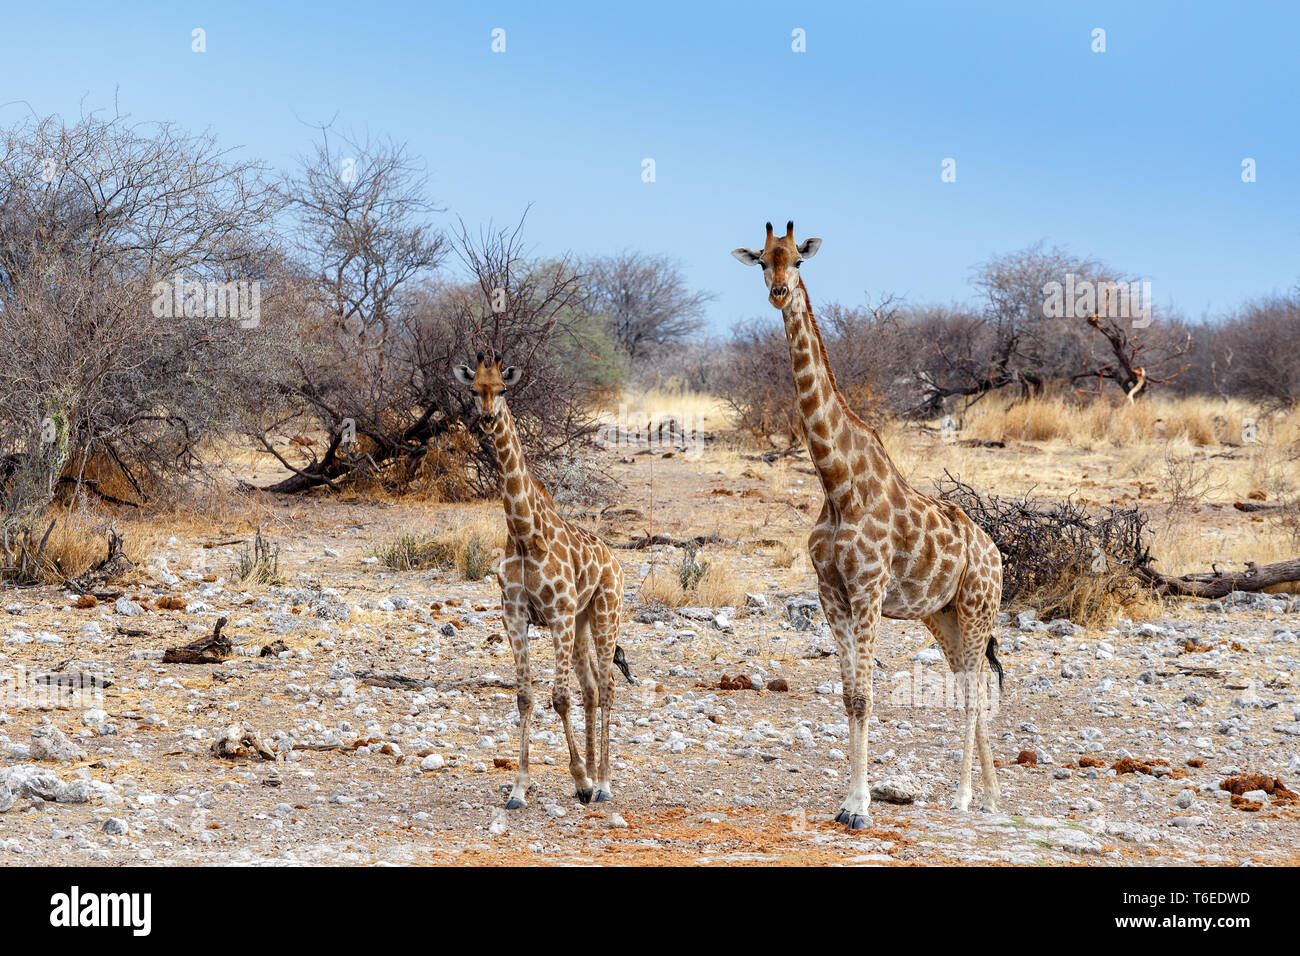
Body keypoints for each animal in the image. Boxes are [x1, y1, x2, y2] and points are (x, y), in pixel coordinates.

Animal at [453, 353, 624, 810]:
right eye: (473, 389)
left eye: (503, 388)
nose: (488, 418)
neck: (524, 532)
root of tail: (615, 560)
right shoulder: (514, 615)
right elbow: (525, 696)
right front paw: (519, 788)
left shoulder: (558, 613)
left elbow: (559, 697)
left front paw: (581, 780)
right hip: (581, 622)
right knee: (591, 687)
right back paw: (594, 777)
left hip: (604, 614)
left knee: (606, 685)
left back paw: (603, 784)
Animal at [732, 222, 1005, 829]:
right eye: (762, 259)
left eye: (798, 262)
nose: (778, 293)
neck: (837, 483)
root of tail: (997, 553)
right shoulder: (830, 590)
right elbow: (848, 694)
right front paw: (848, 801)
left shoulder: (869, 589)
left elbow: (865, 696)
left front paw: (859, 808)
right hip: (941, 616)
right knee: (967, 682)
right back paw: (990, 795)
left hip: (977, 607)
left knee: (976, 690)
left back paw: (966, 797)